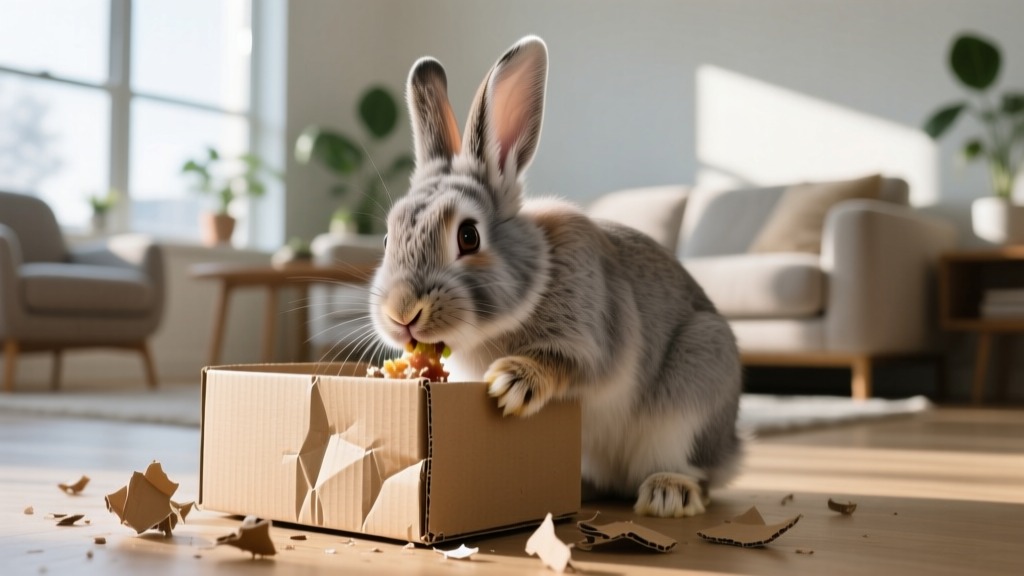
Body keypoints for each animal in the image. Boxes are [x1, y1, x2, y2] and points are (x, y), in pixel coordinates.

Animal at [369, 35, 743, 518]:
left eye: (468, 236)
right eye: (386, 238)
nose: (401, 314)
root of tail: (733, 446)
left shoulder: (594, 336)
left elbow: (568, 361)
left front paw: (509, 383)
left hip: (696, 384)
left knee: (698, 474)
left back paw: (667, 493)